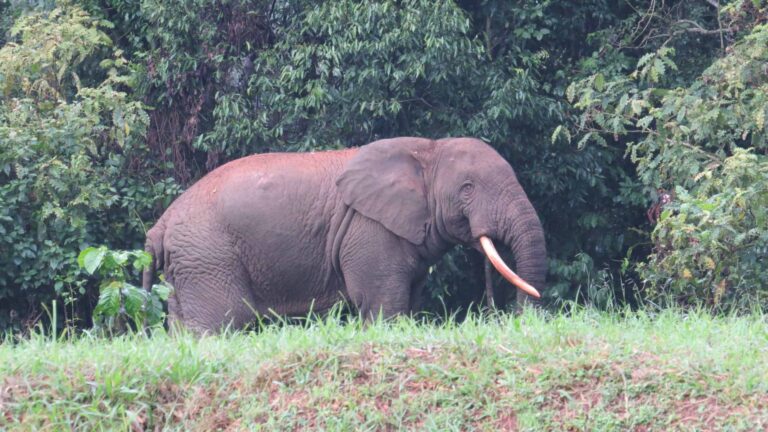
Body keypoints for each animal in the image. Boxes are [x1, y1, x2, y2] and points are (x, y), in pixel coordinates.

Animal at [143, 137, 546, 332]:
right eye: (467, 189)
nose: (519, 322)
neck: (427, 148)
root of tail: (159, 226)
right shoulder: (370, 230)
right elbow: (384, 302)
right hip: (208, 257)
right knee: (223, 321)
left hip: (191, 263)